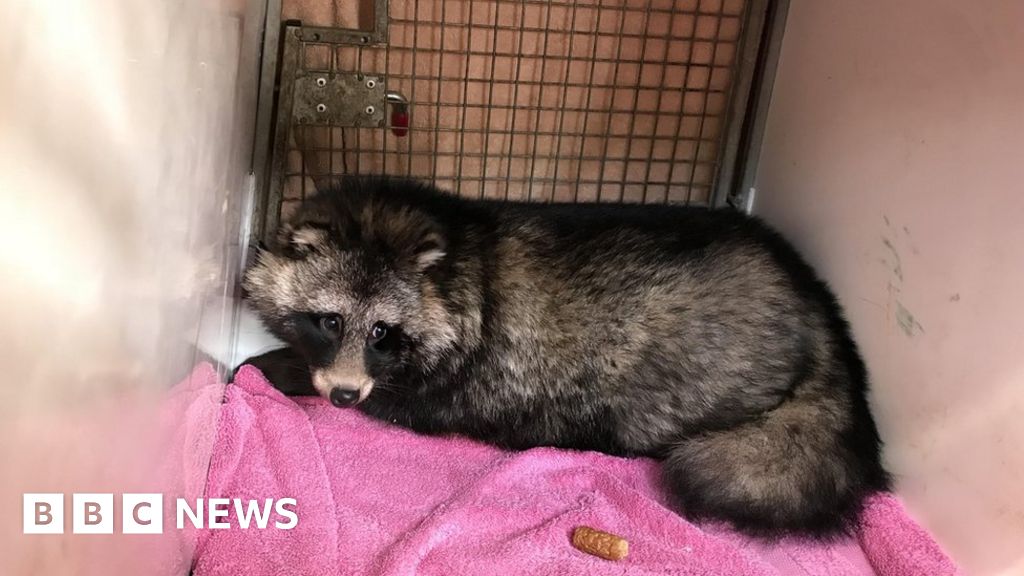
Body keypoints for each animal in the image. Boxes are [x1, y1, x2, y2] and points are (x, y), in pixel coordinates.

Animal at [242, 176, 889, 537]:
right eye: (330, 321)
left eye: (382, 332)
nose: (344, 394)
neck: (462, 260)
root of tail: (814, 301)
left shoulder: (469, 380)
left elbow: (408, 402)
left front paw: (281, 368)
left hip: (685, 365)